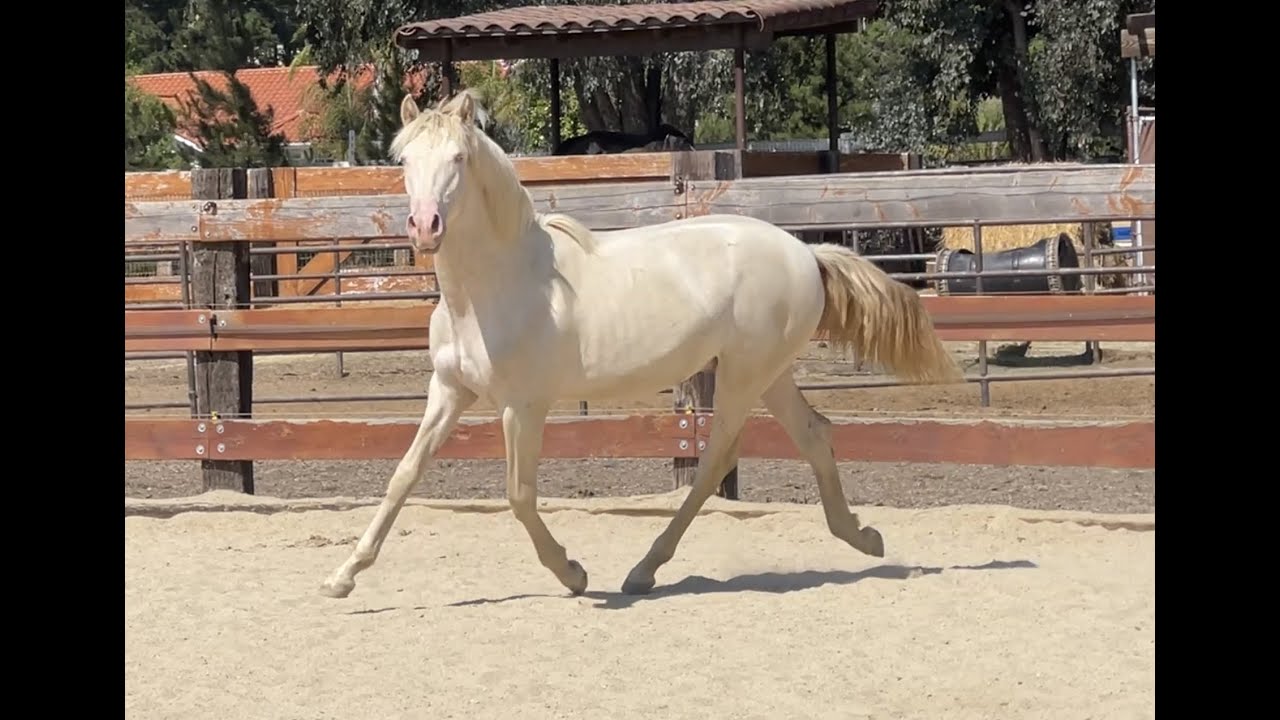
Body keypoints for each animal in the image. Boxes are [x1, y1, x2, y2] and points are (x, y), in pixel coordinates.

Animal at [318, 89, 963, 600]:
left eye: (458, 157)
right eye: (404, 159)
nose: (424, 227)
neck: (493, 290)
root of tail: (806, 252)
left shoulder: (522, 407)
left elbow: (519, 495)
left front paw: (574, 574)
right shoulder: (449, 392)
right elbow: (403, 475)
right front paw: (342, 576)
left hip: (742, 375)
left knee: (713, 462)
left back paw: (643, 571)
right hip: (769, 374)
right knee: (814, 436)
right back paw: (864, 538)